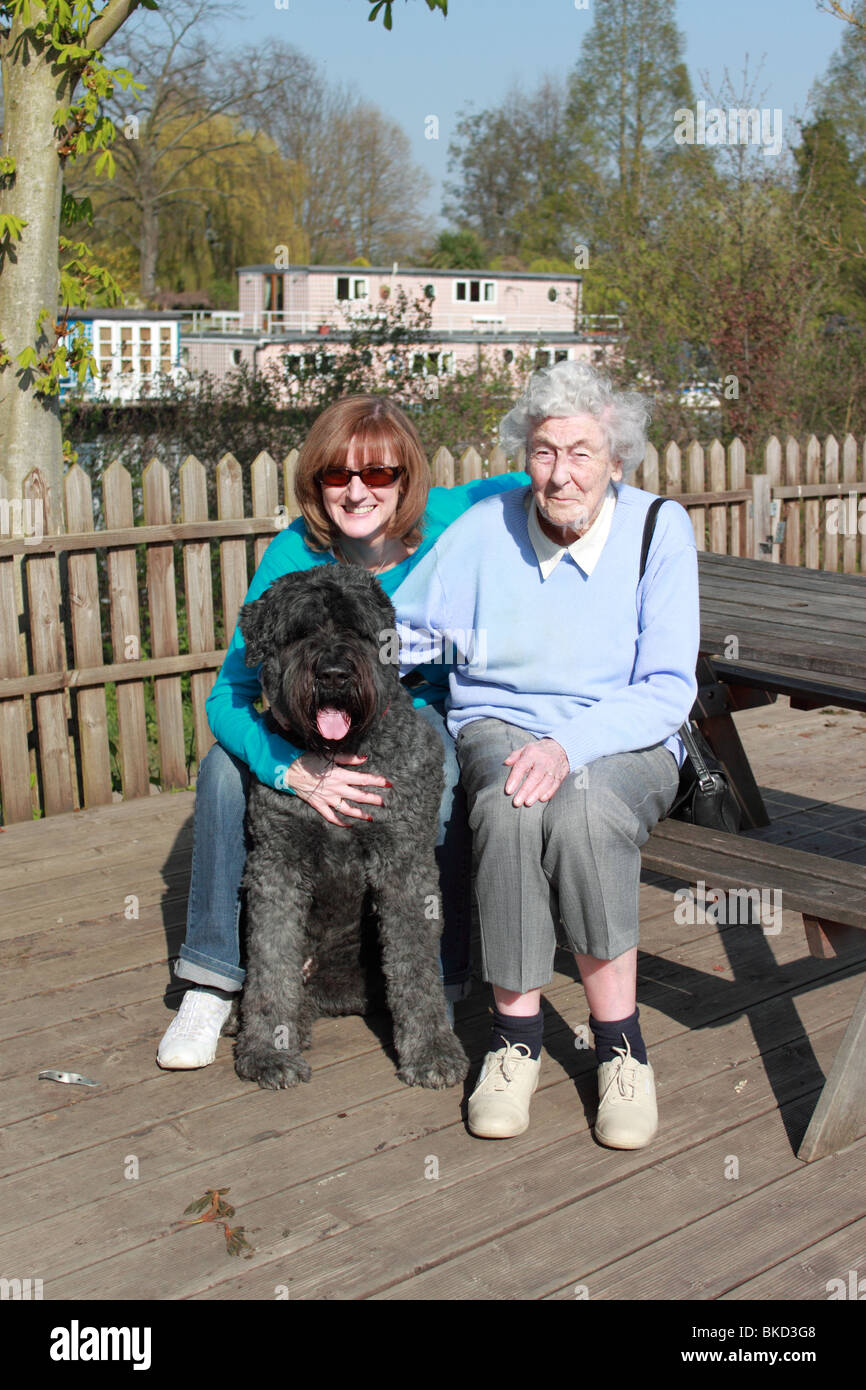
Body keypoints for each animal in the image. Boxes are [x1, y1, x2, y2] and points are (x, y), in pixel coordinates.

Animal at [233, 558, 469, 1089]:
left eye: (358, 630)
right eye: (300, 631)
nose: (335, 674)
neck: (339, 752)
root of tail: (335, 993)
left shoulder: (405, 860)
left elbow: (414, 960)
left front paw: (431, 1049)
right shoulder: (276, 863)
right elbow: (270, 957)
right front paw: (268, 1049)